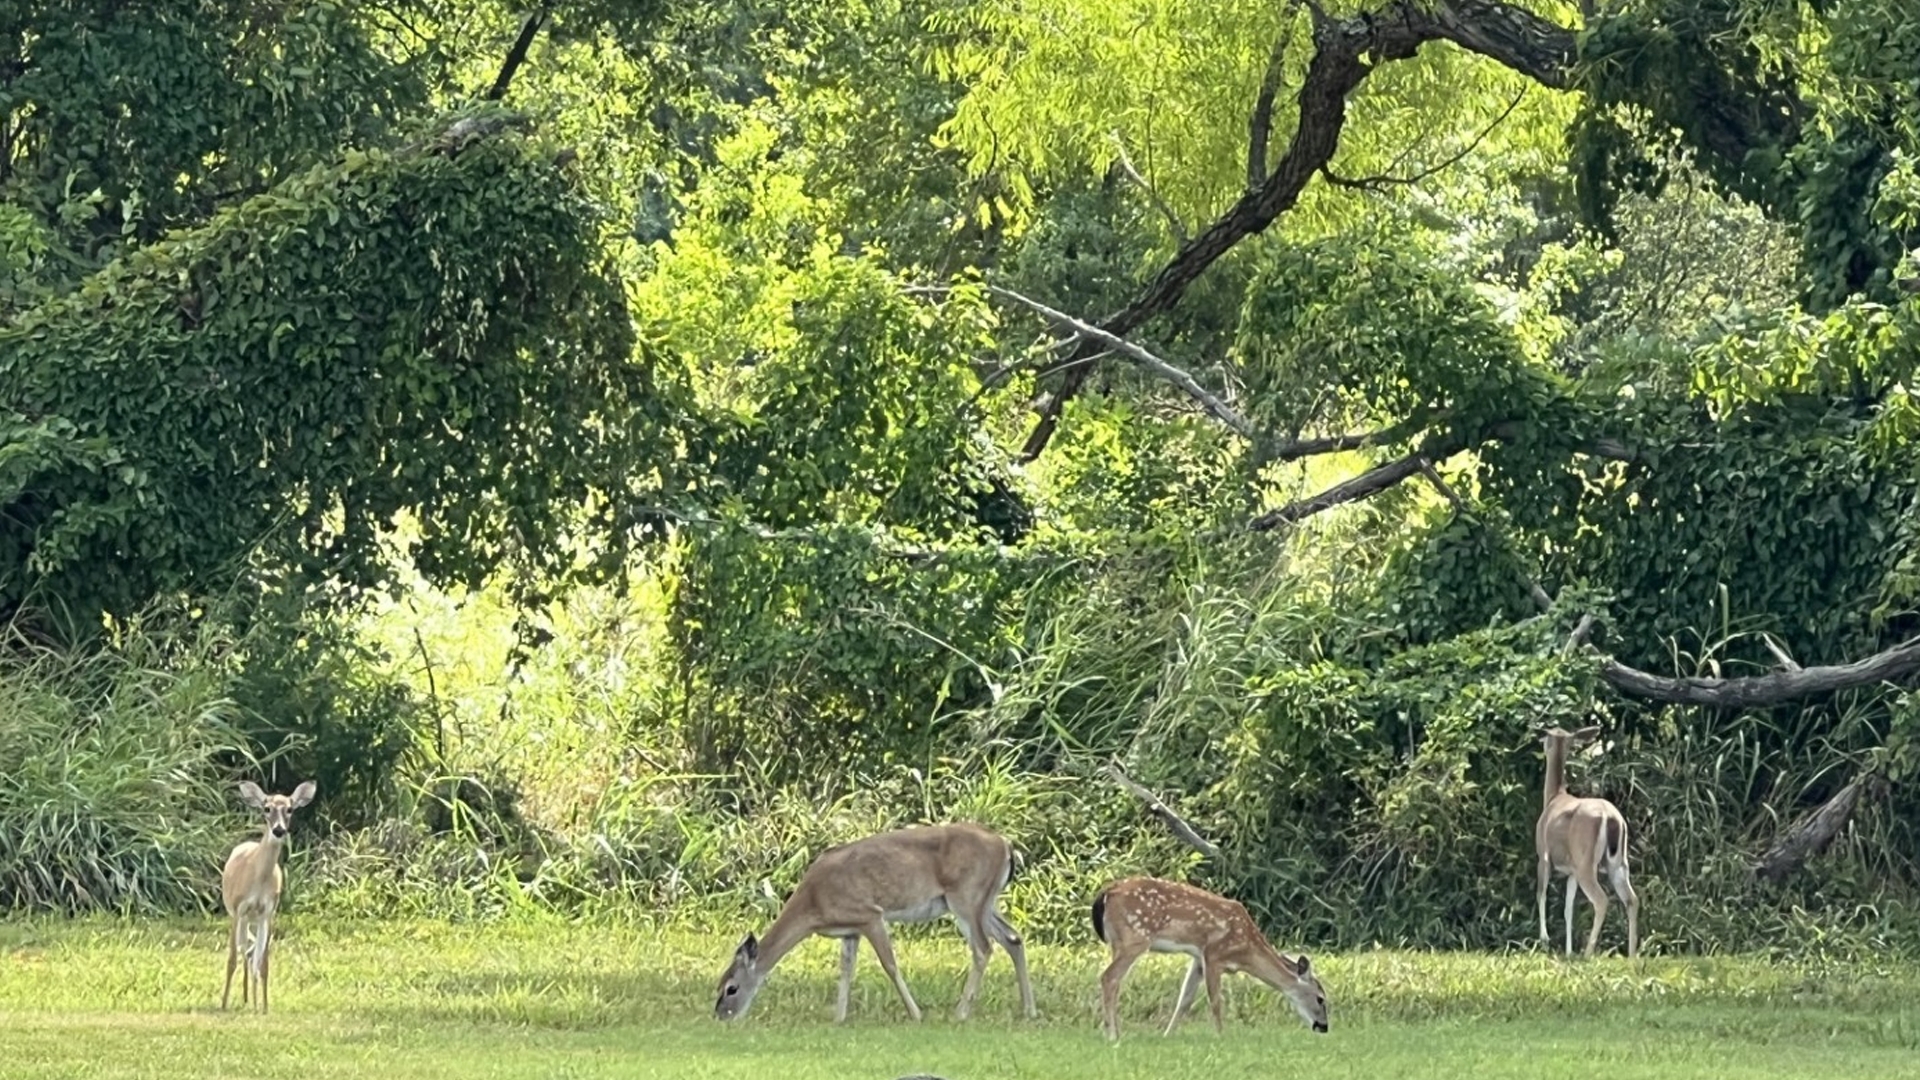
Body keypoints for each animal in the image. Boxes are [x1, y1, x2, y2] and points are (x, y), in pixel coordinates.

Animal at [220, 779, 316, 1013]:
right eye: (266, 808)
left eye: (290, 809)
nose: (279, 829)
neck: (258, 879)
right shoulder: (238, 909)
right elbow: (231, 960)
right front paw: (223, 1004)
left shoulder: (268, 912)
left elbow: (264, 963)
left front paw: (264, 1007)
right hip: (239, 916)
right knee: (243, 951)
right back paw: (243, 999)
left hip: (255, 920)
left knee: (251, 954)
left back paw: (251, 1001)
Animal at [714, 822, 1037, 1023]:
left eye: (731, 988)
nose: (720, 1016)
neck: (814, 904)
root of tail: (1006, 845)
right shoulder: (850, 930)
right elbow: (845, 969)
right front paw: (838, 1018)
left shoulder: (870, 914)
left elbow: (889, 965)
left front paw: (916, 1014)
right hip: (985, 900)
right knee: (1013, 938)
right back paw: (1028, 1009)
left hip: (966, 897)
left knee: (983, 947)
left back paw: (960, 1013)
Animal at [1091, 876, 1328, 1040]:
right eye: (1320, 999)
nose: (1324, 1026)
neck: (1246, 951)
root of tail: (1107, 893)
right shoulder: (1214, 954)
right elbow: (1215, 1001)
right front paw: (1221, 1036)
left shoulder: (1198, 959)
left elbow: (1185, 999)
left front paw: (1167, 1035)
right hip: (1135, 938)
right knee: (1108, 977)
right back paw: (1112, 1035)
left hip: (1118, 942)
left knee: (1114, 981)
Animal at [1536, 725, 1639, 957]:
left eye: (1545, 737)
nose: (1540, 743)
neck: (1553, 798)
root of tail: (1611, 818)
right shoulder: (1572, 870)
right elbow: (1568, 909)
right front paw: (1567, 951)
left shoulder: (1543, 854)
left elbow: (1541, 893)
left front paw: (1544, 939)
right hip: (1618, 863)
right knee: (1631, 899)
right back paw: (1632, 955)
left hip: (1587, 861)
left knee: (1601, 900)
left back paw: (1588, 953)